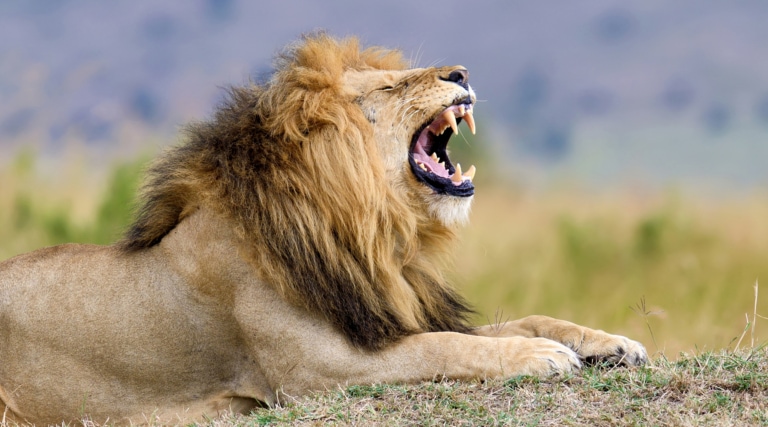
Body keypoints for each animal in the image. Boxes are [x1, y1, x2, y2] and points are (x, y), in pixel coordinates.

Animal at [0, 34, 647, 425]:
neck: (375, 234)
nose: (461, 70)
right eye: (389, 87)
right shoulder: (320, 371)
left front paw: (606, 342)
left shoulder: (385, 315)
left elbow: (518, 320)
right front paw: (542, 356)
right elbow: (448, 345)